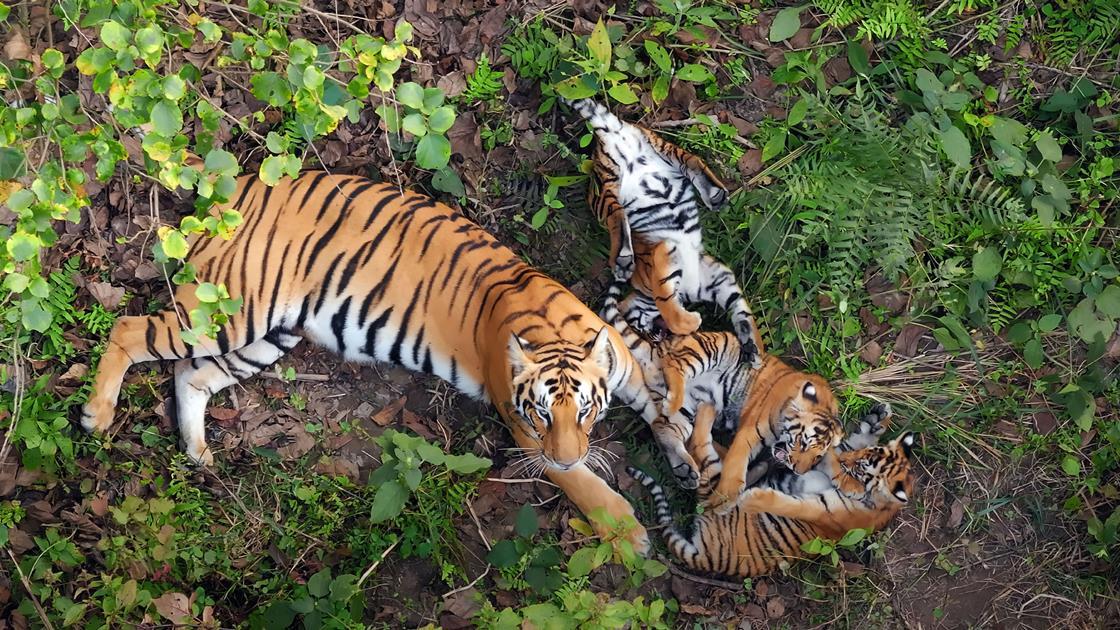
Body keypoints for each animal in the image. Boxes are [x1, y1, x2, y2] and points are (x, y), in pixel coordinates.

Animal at [81, 171, 664, 551]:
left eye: (585, 410)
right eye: (541, 413)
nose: (566, 452)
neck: (555, 332)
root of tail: (239, 185)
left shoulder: (629, 368)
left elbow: (663, 400)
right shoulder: (520, 426)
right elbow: (580, 482)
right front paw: (627, 534)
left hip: (267, 334)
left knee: (192, 375)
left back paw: (198, 452)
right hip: (233, 312)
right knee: (128, 329)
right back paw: (97, 415)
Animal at [564, 98, 759, 367]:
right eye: (639, 330)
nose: (657, 338)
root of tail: (609, 133)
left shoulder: (713, 278)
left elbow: (738, 311)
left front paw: (752, 345)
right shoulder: (705, 274)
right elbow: (674, 308)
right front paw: (695, 323)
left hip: (617, 177)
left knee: (623, 212)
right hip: (642, 158)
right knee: (689, 162)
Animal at [600, 268, 841, 497]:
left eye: (817, 457)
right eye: (803, 443)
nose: (799, 471)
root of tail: (655, 351)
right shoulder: (750, 432)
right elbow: (736, 466)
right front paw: (727, 497)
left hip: (687, 408)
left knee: (662, 427)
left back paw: (685, 472)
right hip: (713, 347)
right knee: (675, 364)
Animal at [628, 402, 916, 577]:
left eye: (861, 468)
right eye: (860, 459)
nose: (848, 462)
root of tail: (706, 558)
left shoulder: (823, 511)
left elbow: (791, 503)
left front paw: (755, 499)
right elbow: (840, 451)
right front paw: (877, 419)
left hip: (714, 490)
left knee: (704, 452)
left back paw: (709, 413)